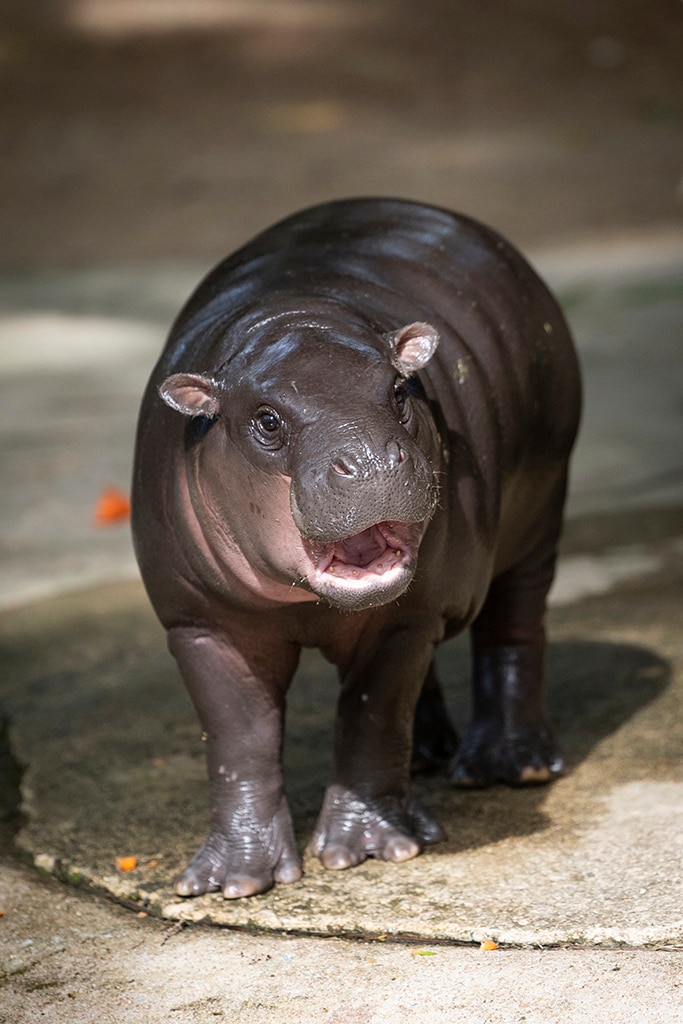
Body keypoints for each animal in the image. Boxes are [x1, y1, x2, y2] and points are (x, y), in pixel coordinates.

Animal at [132, 198, 581, 899]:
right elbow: (238, 740)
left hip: (540, 509)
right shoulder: (200, 622)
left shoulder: (404, 619)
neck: (294, 320)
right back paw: (428, 756)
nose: (369, 459)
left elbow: (373, 714)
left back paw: (508, 765)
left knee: (513, 627)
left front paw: (369, 849)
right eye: (265, 420)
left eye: (399, 390)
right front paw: (233, 879)